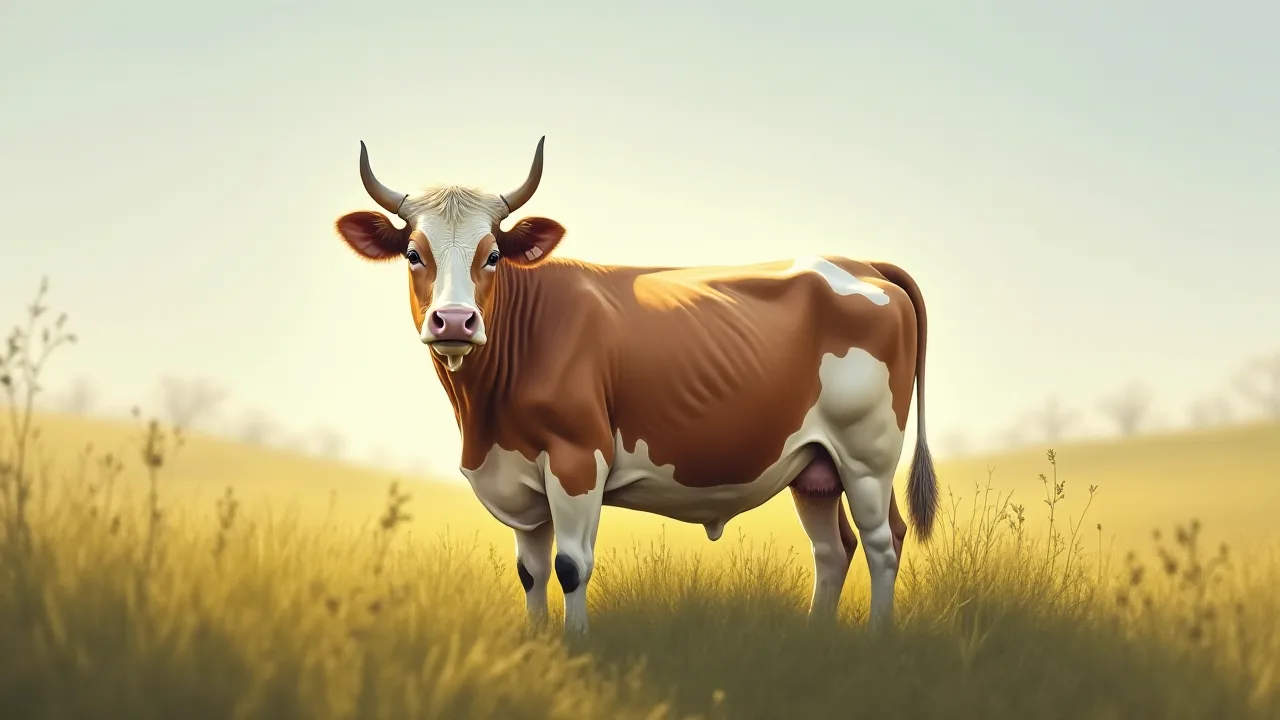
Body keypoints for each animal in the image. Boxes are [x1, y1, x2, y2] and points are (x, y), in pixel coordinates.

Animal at [333, 137, 939, 634]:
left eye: (494, 255)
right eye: (414, 253)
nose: (455, 321)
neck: (485, 422)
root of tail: (860, 264)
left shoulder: (578, 458)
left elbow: (570, 566)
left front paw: (575, 649)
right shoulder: (519, 477)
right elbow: (531, 572)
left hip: (867, 454)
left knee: (884, 541)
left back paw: (876, 639)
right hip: (814, 465)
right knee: (832, 549)